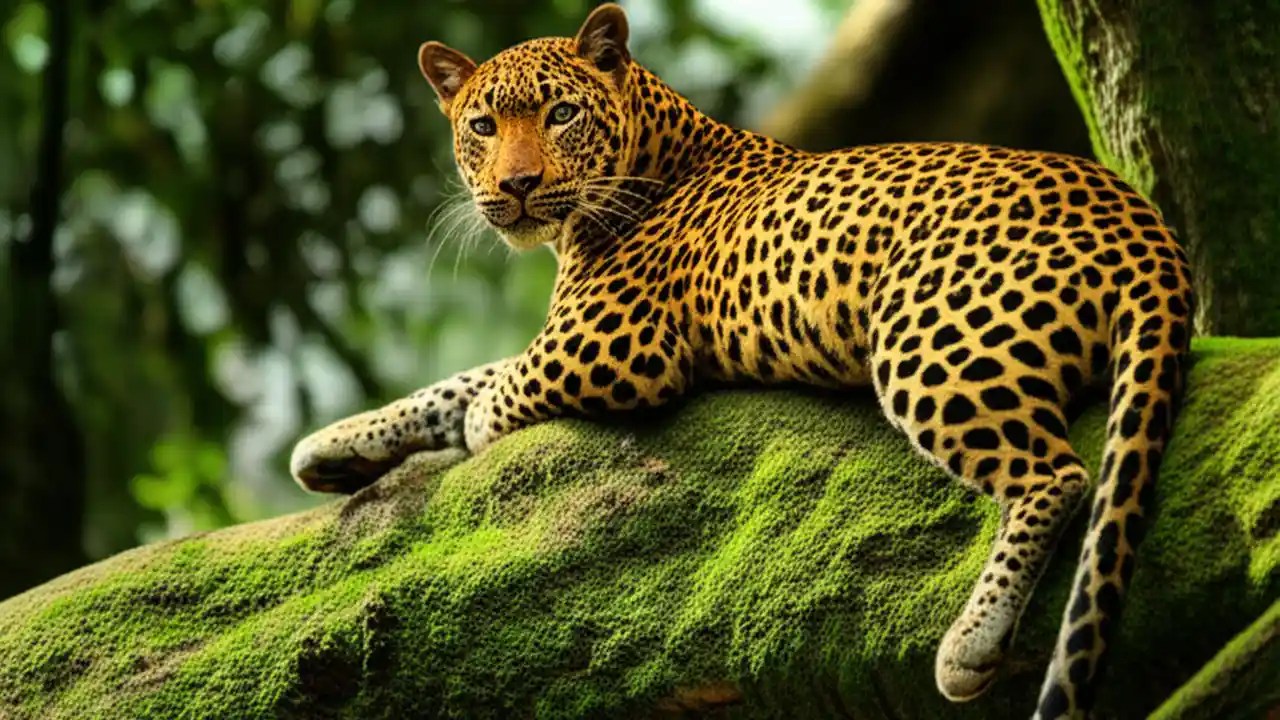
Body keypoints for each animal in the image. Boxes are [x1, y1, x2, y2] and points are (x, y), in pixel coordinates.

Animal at [289, 5, 1194, 718]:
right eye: (482, 126)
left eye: (561, 114)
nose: (514, 185)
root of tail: (1143, 221)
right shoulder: (569, 332)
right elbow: (455, 381)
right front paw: (331, 446)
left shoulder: (609, 344)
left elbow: (492, 393)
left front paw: (460, 428)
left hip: (930, 337)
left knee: (1057, 475)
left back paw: (971, 644)